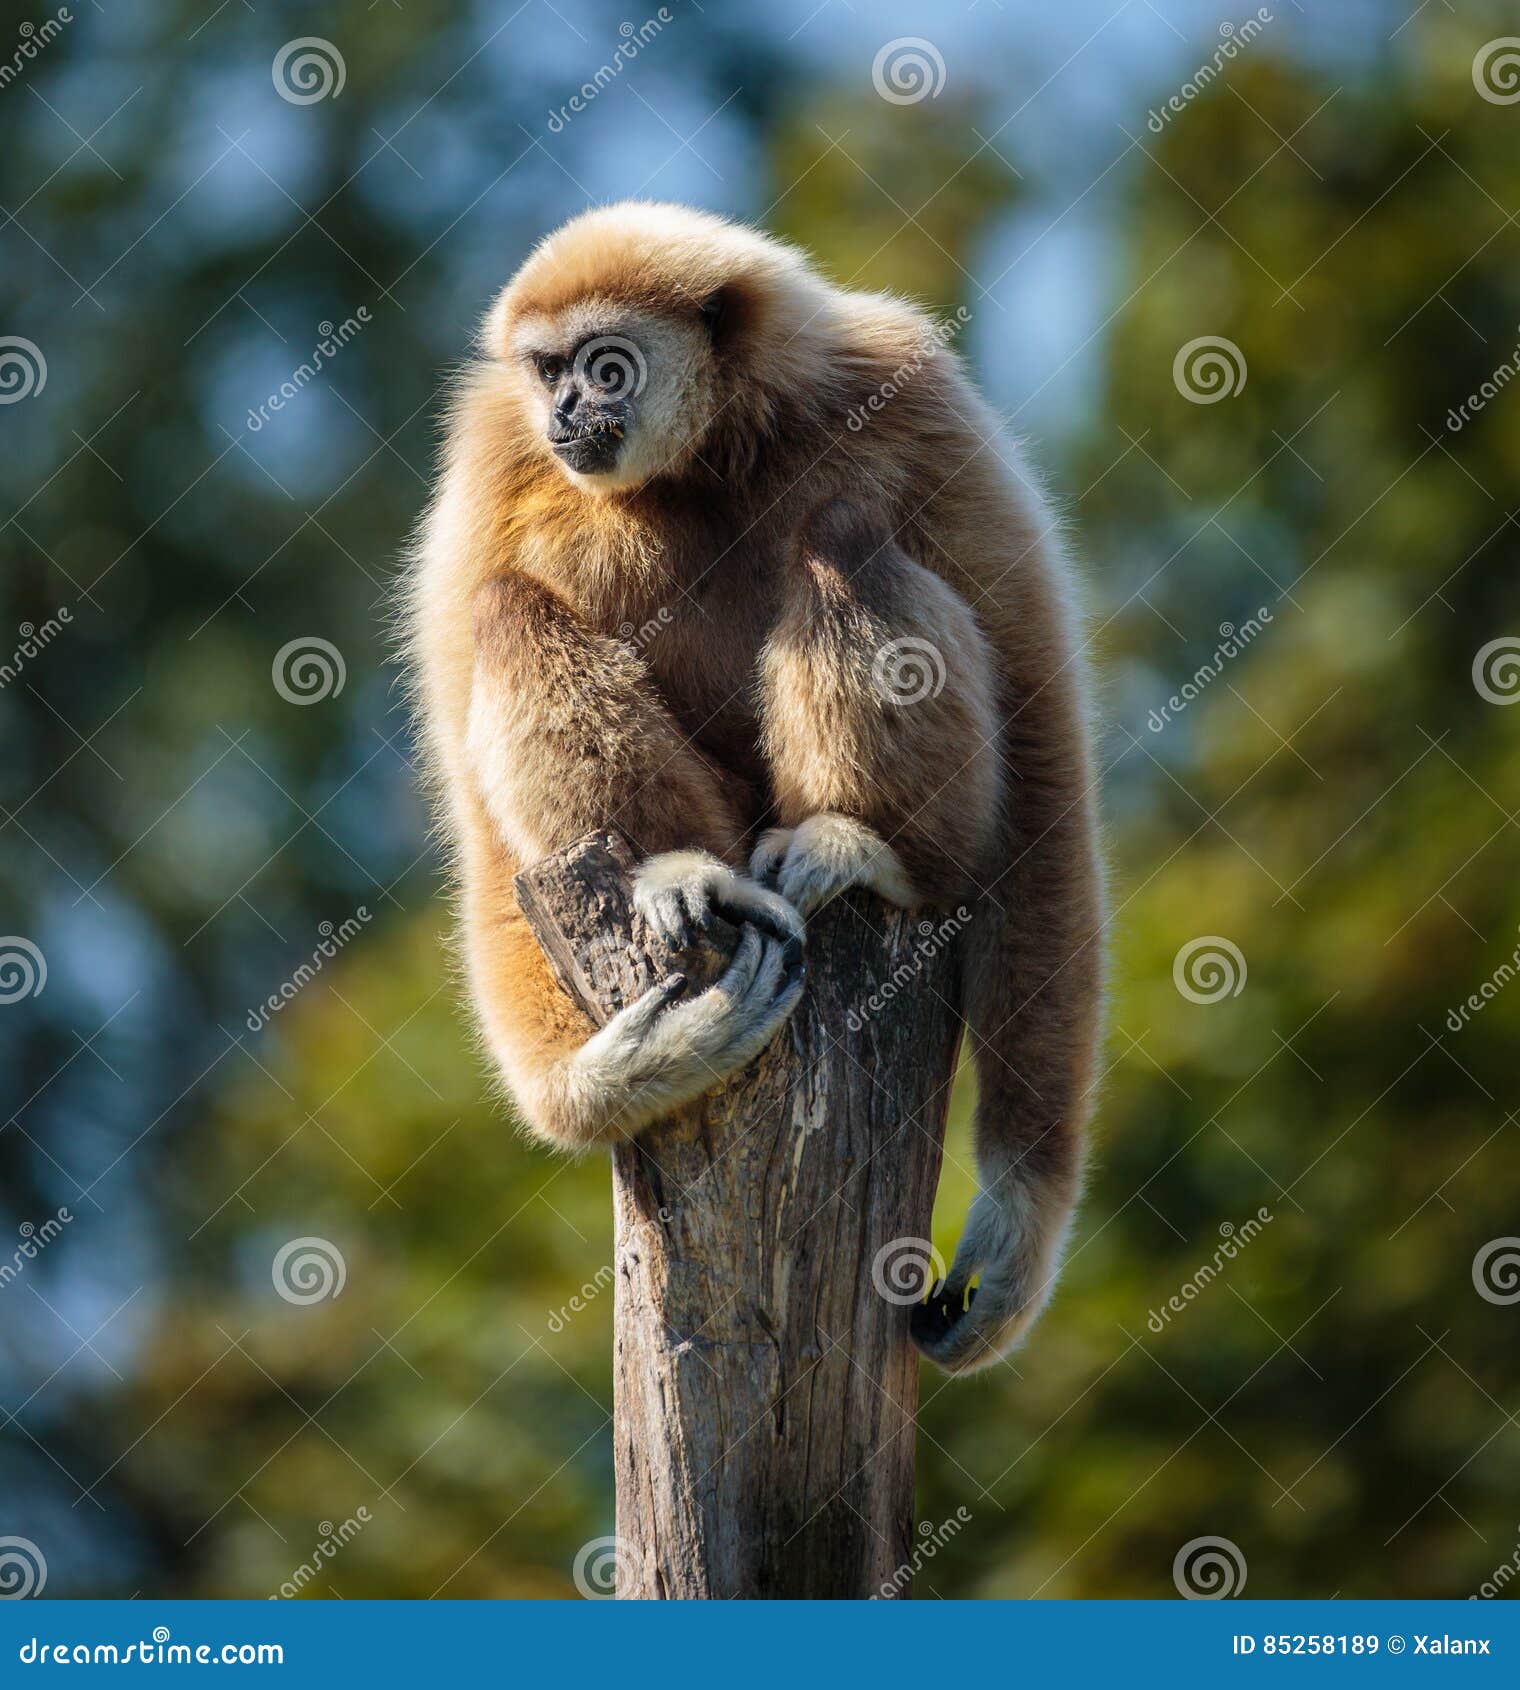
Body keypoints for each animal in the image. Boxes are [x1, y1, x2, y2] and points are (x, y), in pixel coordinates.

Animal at [404, 201, 1104, 1374]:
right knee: (508, 602)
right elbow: (480, 828)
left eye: (603, 365)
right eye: (546, 369)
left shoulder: (913, 387)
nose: (565, 408)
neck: (710, 450)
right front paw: (607, 1086)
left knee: (843, 537)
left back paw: (865, 849)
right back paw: (683, 870)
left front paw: (1016, 1227)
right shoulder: (498, 447)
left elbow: (1042, 729)